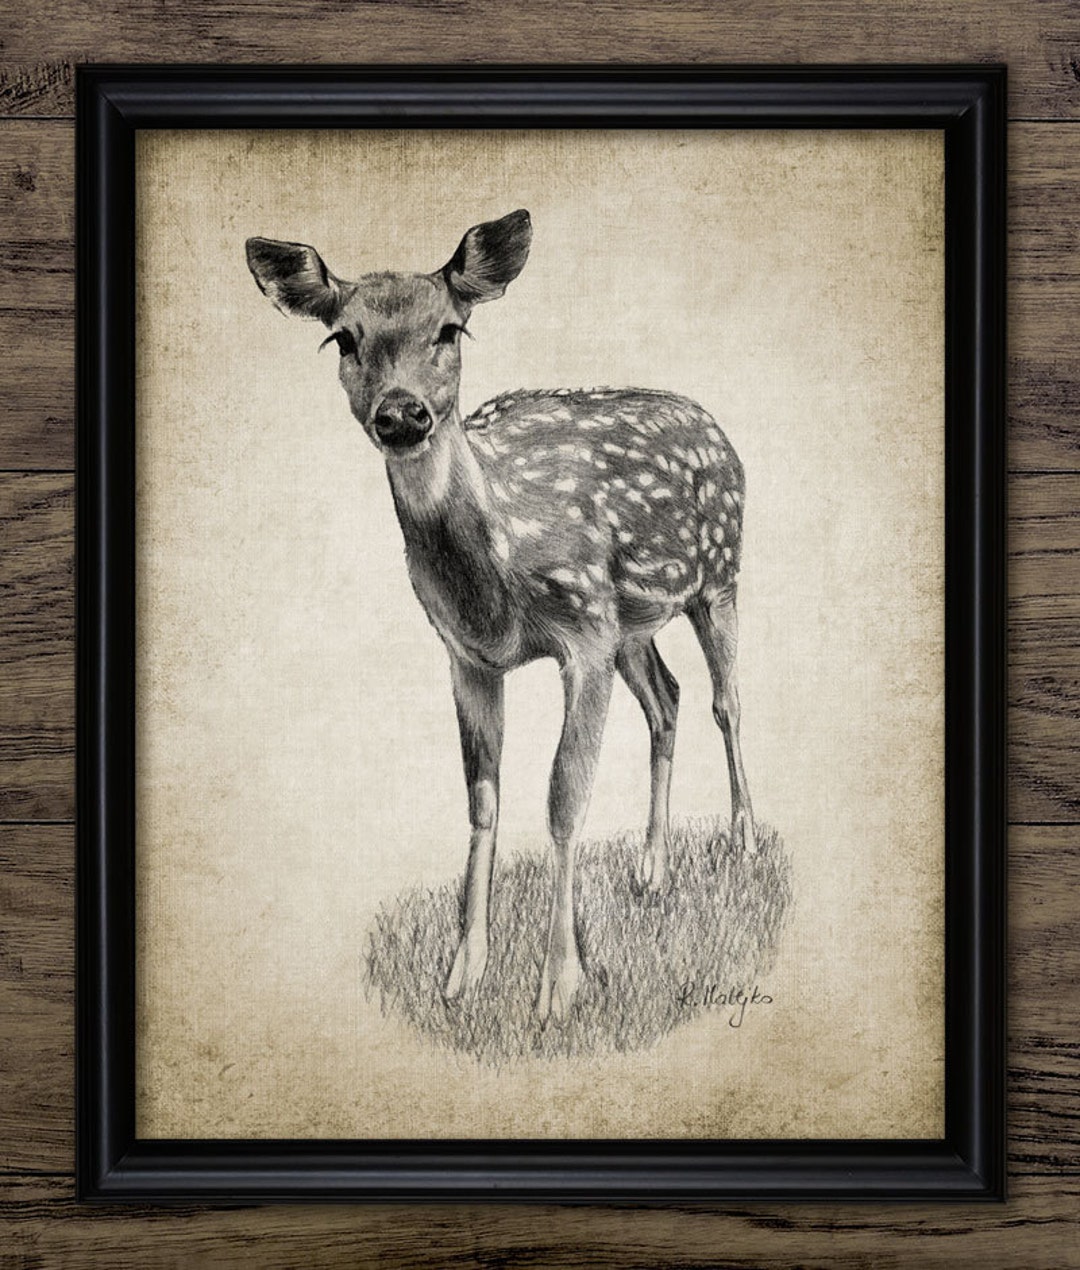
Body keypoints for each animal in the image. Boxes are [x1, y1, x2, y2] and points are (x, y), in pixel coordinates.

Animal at [246, 210, 755, 1023]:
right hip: (634, 625)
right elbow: (482, 801)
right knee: (668, 700)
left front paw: (558, 988)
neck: (495, 573)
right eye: (344, 338)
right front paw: (463, 974)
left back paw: (743, 840)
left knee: (726, 699)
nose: (402, 413)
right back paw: (651, 869)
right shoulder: (470, 656)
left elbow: (564, 798)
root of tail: (714, 424)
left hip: (719, 574)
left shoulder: (583, 632)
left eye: (451, 329)